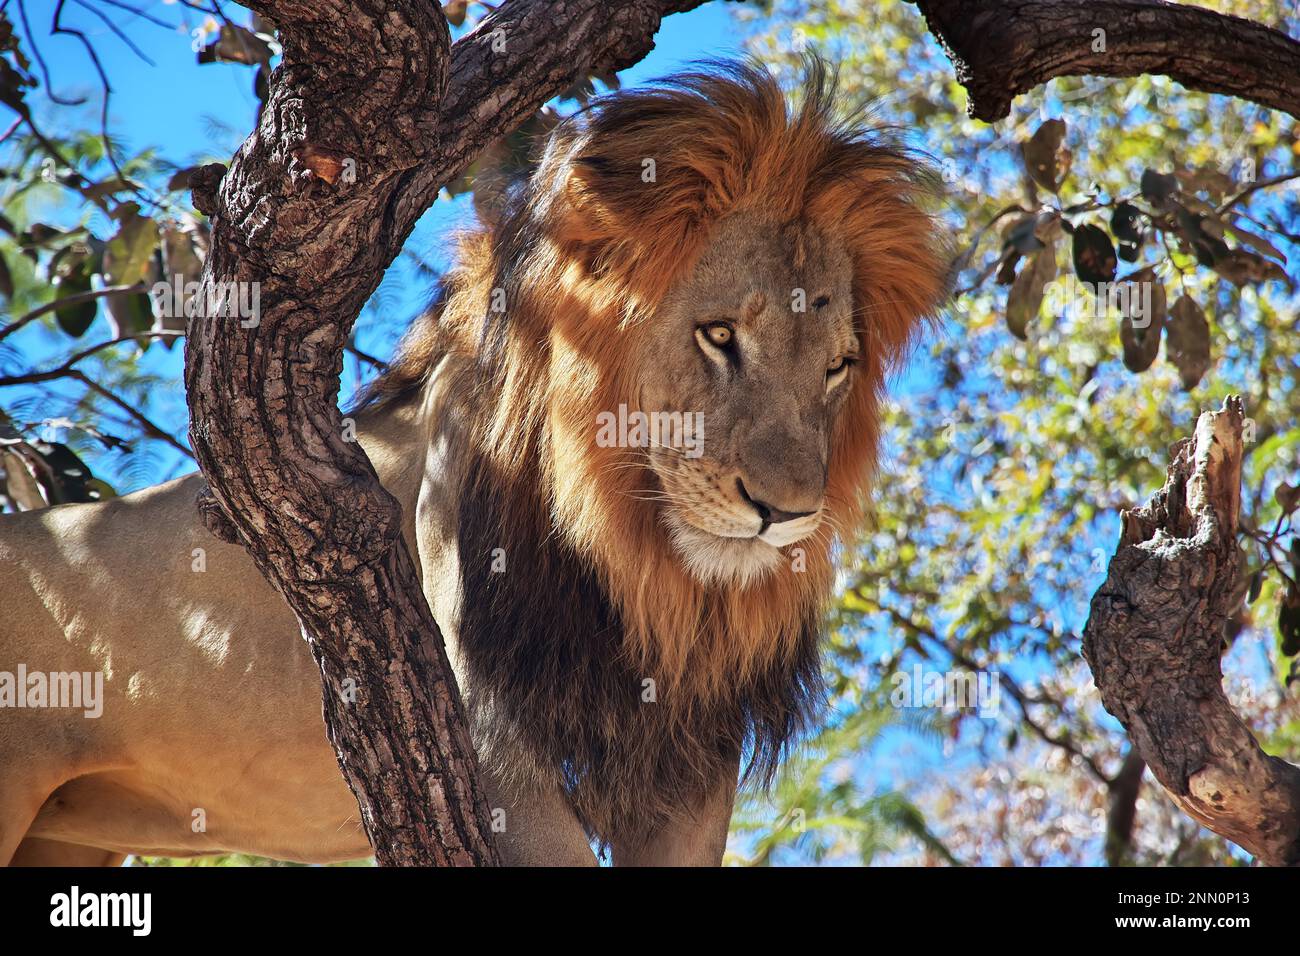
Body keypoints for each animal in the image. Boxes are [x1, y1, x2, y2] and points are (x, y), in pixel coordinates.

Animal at [0, 60, 947, 866]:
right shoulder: (495, 741)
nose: (786, 512)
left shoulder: (689, 764)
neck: (638, 559)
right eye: (719, 336)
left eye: (839, 366)